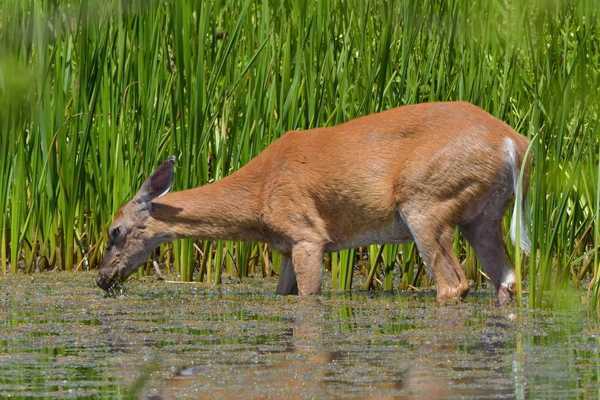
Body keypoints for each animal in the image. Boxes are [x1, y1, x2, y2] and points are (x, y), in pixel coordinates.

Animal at [95, 101, 528, 304]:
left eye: (115, 231)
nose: (102, 278)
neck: (258, 197)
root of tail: (514, 143)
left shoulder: (307, 234)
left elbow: (308, 296)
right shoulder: (286, 247)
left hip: (426, 203)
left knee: (454, 284)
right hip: (483, 215)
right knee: (506, 279)